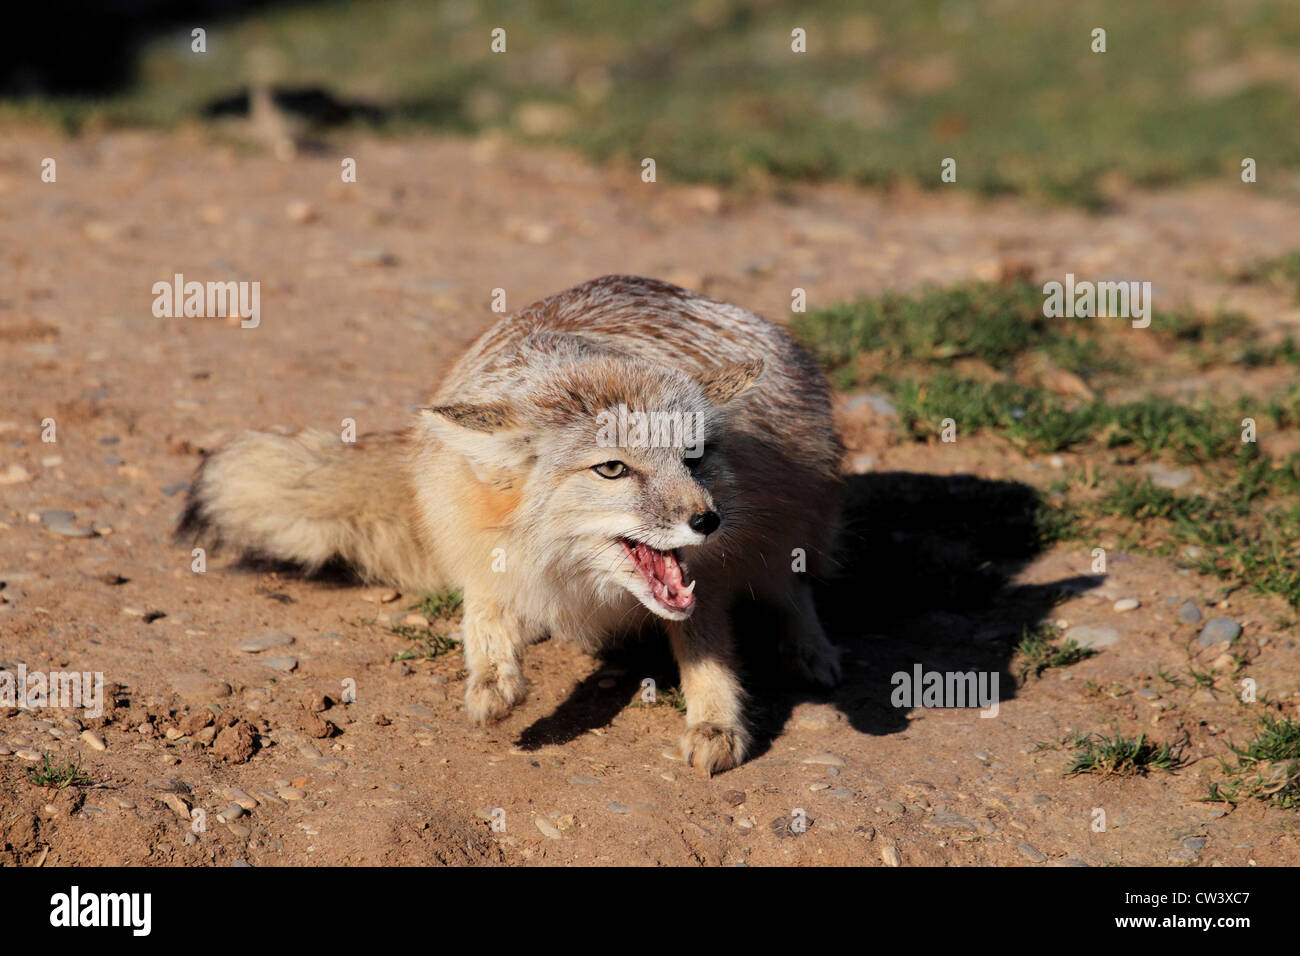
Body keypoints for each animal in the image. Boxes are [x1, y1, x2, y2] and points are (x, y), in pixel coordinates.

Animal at [178, 275, 844, 775]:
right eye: (612, 468)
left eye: (694, 457)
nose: (708, 520)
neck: (573, 578)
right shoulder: (473, 537)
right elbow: (483, 608)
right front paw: (494, 675)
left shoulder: (708, 580)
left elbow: (709, 651)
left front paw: (714, 721)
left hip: (792, 524)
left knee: (794, 586)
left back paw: (810, 648)